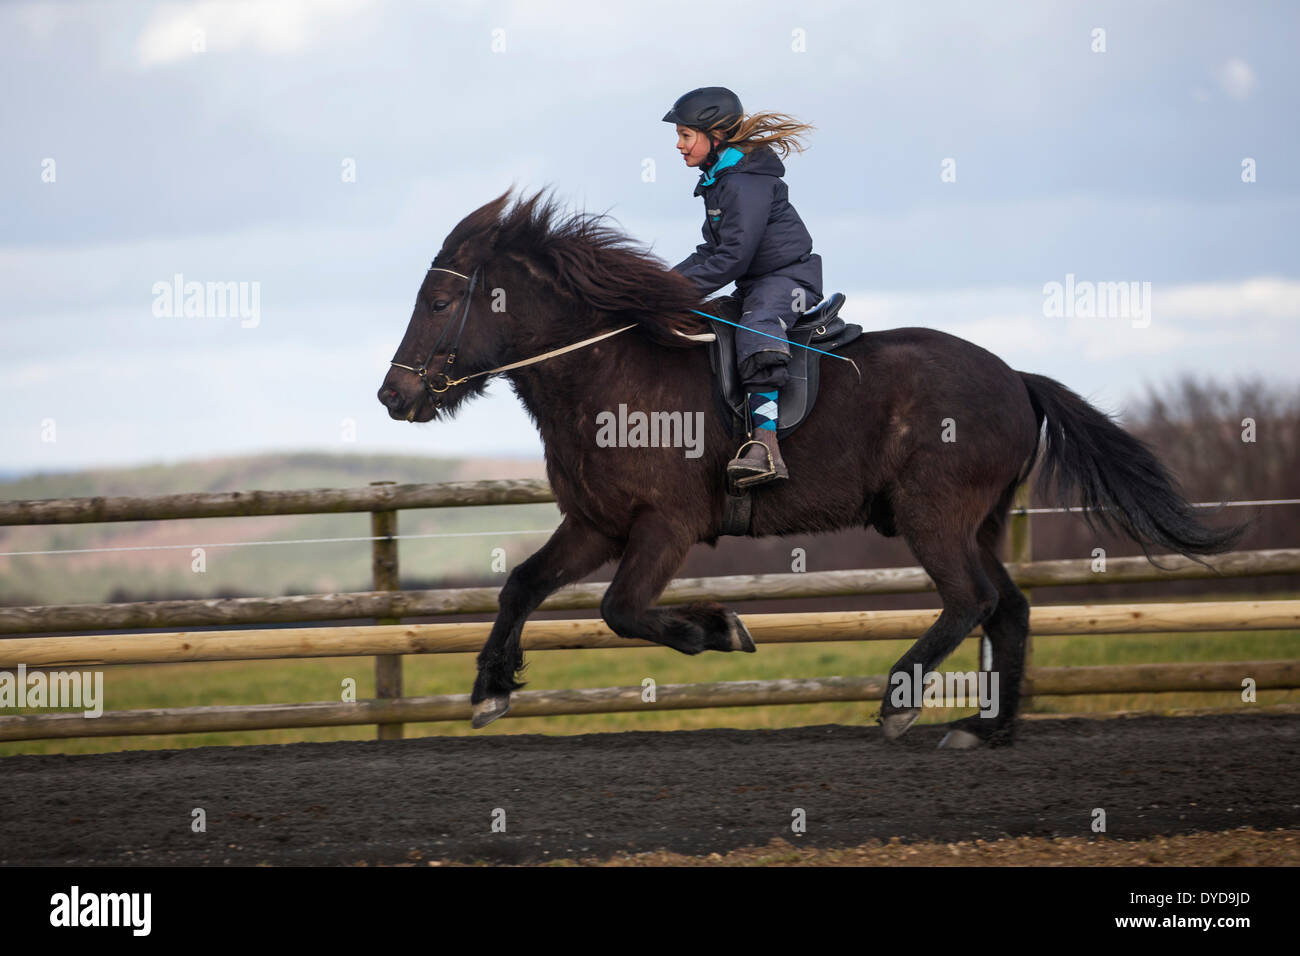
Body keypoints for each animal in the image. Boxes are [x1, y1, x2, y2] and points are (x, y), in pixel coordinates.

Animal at [377, 189, 1244, 748]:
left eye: (437, 302)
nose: (393, 395)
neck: (608, 371)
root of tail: (1016, 378)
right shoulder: (596, 523)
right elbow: (522, 585)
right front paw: (491, 689)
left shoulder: (664, 527)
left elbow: (622, 610)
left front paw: (719, 629)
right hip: (981, 521)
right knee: (1009, 606)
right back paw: (989, 729)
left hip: (935, 514)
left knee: (970, 600)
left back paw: (899, 702)